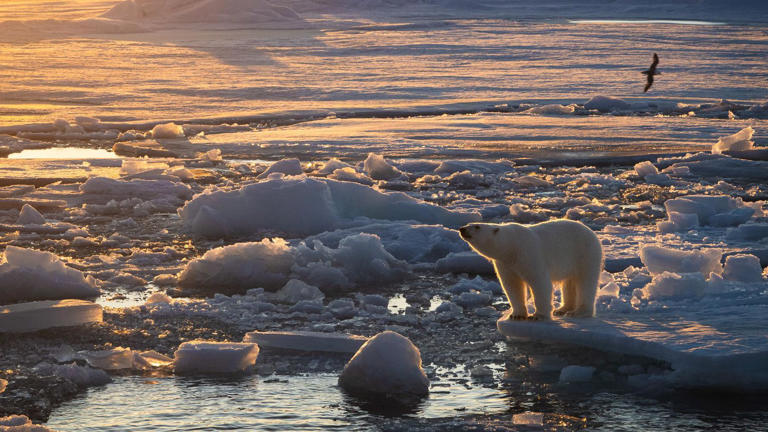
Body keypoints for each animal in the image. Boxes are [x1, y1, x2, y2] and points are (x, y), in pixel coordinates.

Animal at [459, 219, 602, 320]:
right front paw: (516, 315)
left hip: (585, 253)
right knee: (569, 283)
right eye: (469, 223)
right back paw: (562, 309)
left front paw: (538, 316)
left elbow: (539, 282)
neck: (512, 246)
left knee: (586, 282)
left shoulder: (528, 253)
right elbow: (512, 285)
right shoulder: (505, 264)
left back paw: (578, 312)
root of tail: (592, 233)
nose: (462, 229)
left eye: (477, 226)